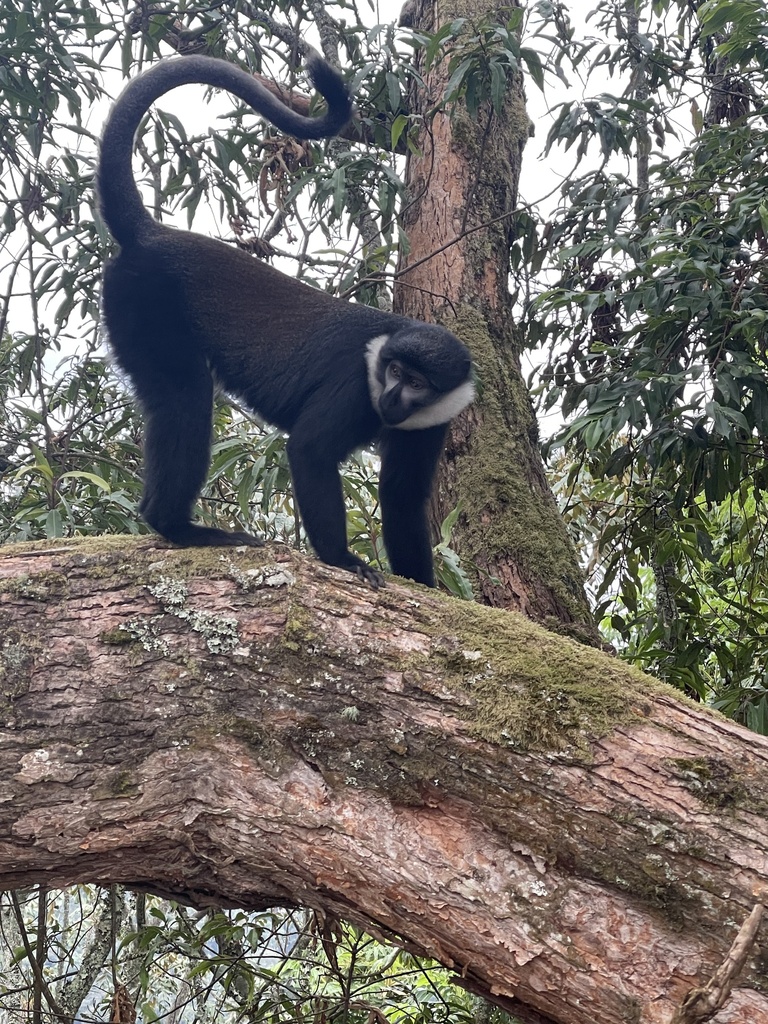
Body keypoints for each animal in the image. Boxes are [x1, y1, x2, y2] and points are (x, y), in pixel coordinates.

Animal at [96, 51, 474, 588]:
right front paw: (342, 559)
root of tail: (151, 236)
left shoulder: (433, 420)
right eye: (395, 372)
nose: (393, 396)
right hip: (144, 308)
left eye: (417, 382)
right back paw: (175, 525)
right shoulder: (352, 387)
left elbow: (401, 498)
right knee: (185, 395)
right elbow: (310, 451)